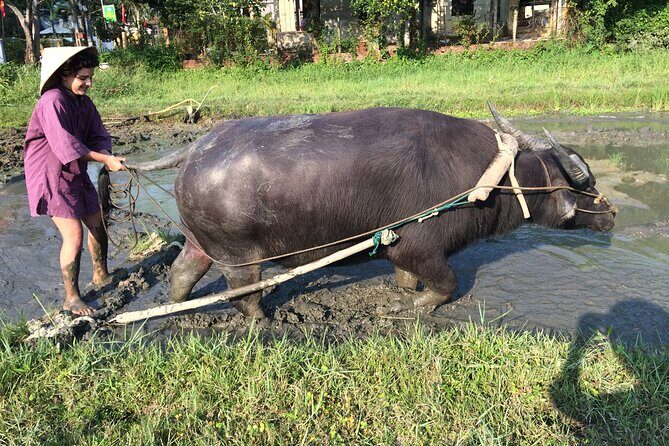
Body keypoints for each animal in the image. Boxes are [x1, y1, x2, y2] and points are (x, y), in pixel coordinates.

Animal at [124, 103, 615, 318]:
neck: (489, 179)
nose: (611, 215)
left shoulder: (405, 250)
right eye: (585, 182)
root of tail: (193, 150)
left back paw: (175, 308)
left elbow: (407, 276)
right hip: (239, 257)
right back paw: (261, 322)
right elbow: (446, 283)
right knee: (244, 294)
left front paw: (404, 293)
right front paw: (414, 305)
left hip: (200, 240)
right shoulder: (422, 246)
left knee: (183, 270)